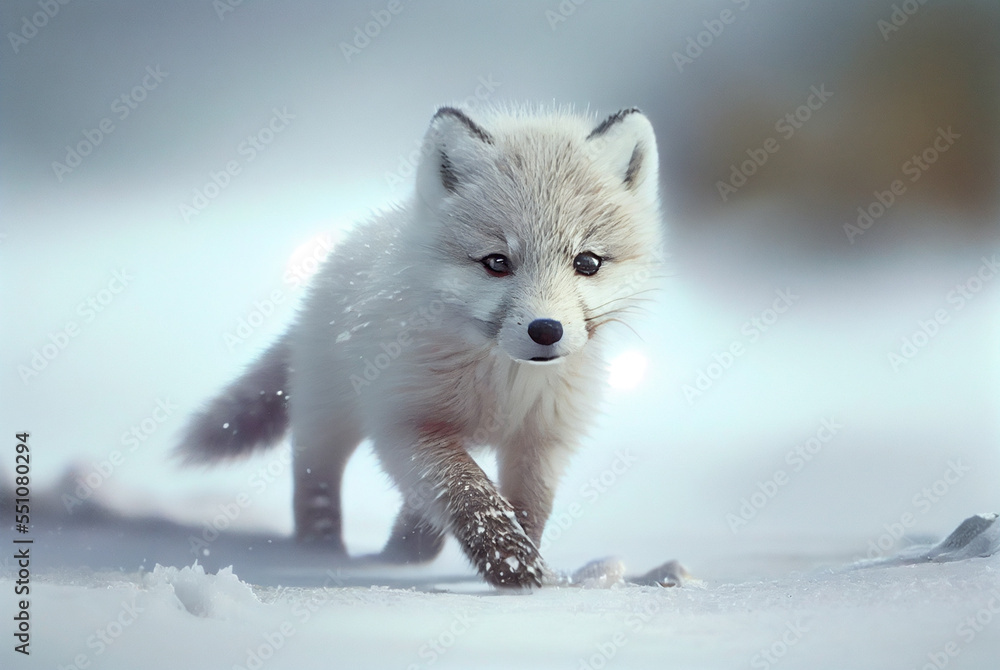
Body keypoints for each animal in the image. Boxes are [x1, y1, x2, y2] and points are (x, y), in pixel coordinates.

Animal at [179, 105, 664, 588]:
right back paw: (321, 552)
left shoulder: (542, 441)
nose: (545, 330)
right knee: (315, 477)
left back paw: (403, 552)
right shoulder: (406, 425)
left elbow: (528, 508)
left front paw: (527, 568)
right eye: (497, 262)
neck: (504, 388)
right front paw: (512, 564)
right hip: (330, 417)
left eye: (587, 262)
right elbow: (471, 494)